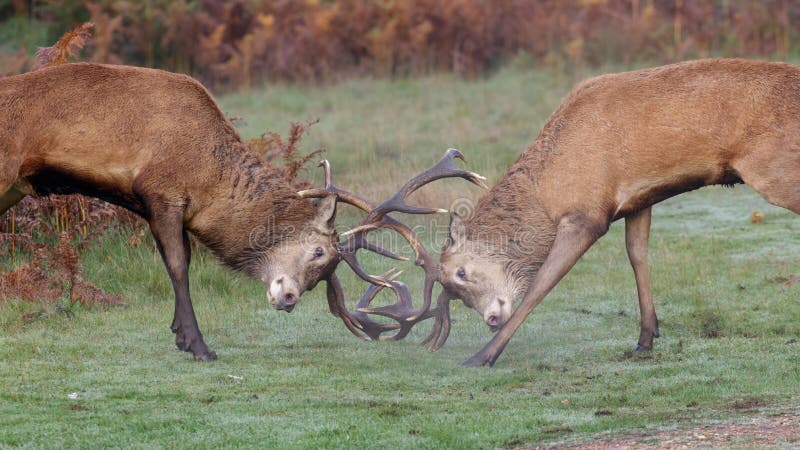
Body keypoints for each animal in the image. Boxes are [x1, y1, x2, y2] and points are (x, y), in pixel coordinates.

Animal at [0, 62, 486, 361]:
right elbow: (179, 266)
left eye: (320, 278)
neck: (206, 175)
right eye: (319, 254)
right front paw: (198, 345)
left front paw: (179, 334)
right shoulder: (162, 191)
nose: (288, 298)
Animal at [413, 58, 800, 367]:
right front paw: (646, 337)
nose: (492, 318)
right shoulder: (638, 201)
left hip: (774, 172)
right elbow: (637, 254)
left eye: (460, 273)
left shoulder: (587, 214)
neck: (548, 189)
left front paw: (482, 356)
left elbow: (540, 284)